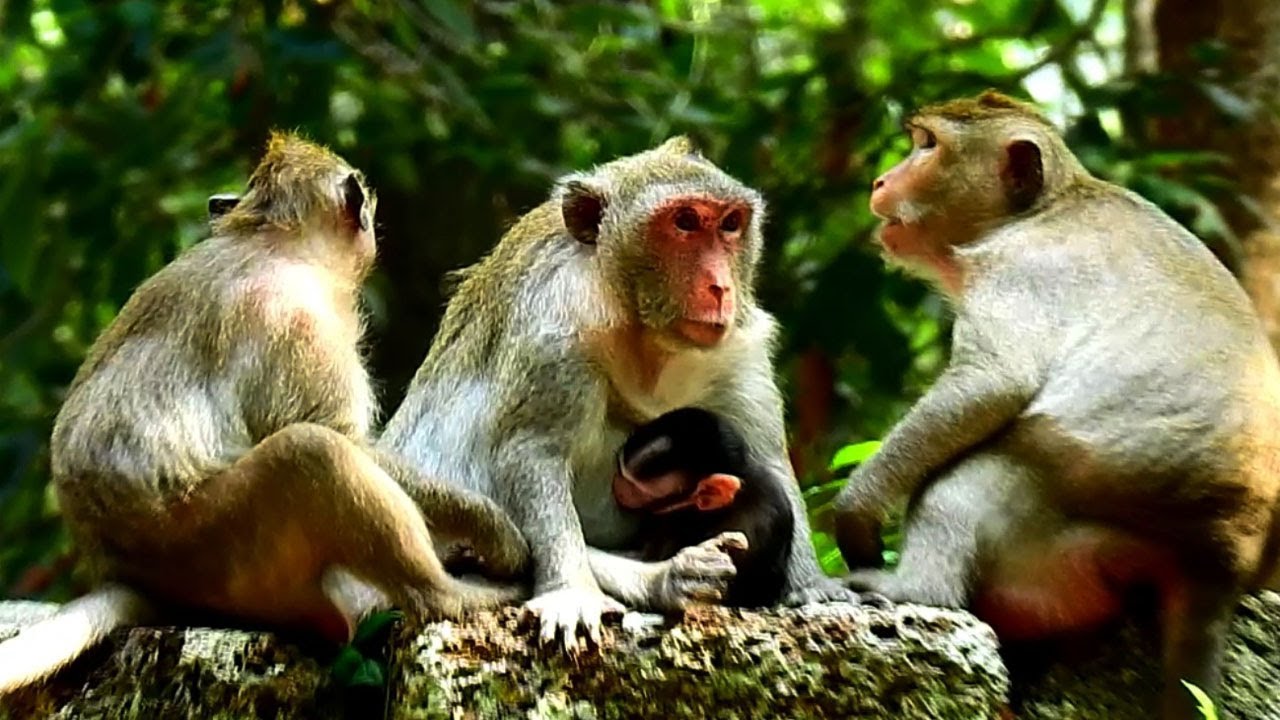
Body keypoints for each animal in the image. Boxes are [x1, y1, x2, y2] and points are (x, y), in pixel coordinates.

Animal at [0, 132, 531, 695]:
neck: (269, 239)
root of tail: (128, 572)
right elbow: (341, 438)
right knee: (311, 453)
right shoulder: (304, 329)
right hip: (220, 546)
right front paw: (490, 528)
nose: (219, 201)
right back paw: (446, 594)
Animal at [829, 90, 1280, 720]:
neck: (1040, 210)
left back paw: (913, 590)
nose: (880, 179)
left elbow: (994, 382)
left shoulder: (1019, 270)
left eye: (927, 146)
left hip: (1062, 536)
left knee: (966, 481)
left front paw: (857, 510)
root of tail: (1220, 563)